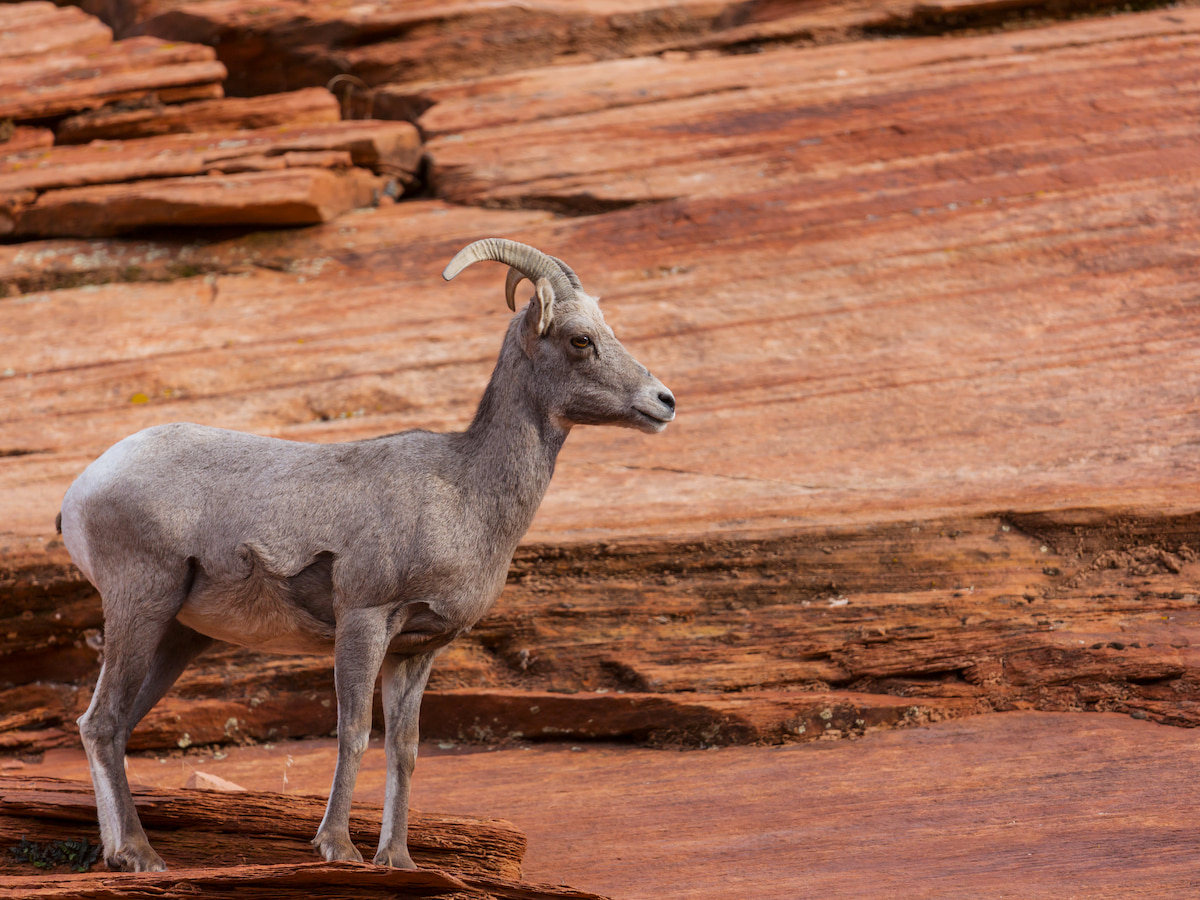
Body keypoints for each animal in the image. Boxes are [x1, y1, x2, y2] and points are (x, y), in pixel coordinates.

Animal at [57, 238, 676, 872]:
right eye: (580, 339)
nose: (664, 401)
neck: (465, 491)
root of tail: (82, 488)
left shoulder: (417, 650)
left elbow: (404, 749)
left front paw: (398, 860)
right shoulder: (364, 620)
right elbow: (354, 731)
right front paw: (339, 848)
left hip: (178, 636)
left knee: (112, 727)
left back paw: (119, 853)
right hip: (141, 608)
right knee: (102, 722)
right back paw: (140, 856)